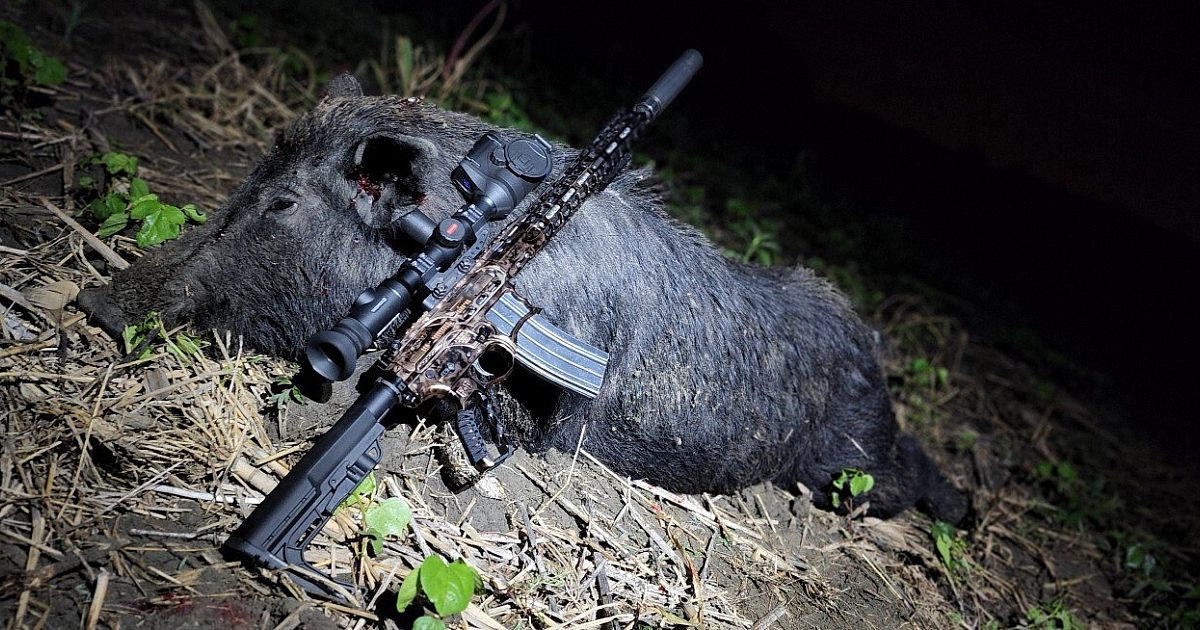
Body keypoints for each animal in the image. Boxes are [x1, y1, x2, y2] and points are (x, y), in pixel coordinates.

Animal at [79, 74, 967, 523]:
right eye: (253, 174)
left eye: (285, 204)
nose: (94, 305)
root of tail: (874, 353)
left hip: (857, 459)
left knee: (897, 482)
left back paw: (956, 508)